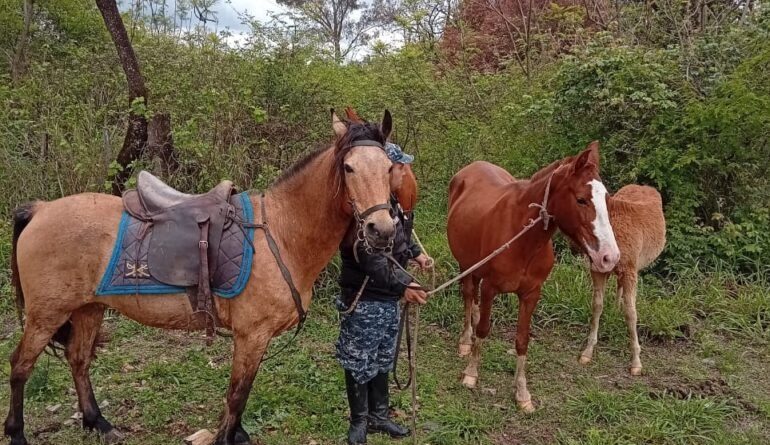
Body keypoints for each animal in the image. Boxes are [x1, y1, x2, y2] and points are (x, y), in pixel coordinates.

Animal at [5, 110, 398, 445]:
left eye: (390, 168)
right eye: (348, 167)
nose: (381, 230)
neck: (281, 232)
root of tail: (41, 209)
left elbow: (240, 394)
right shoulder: (251, 335)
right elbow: (237, 393)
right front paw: (227, 437)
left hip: (89, 308)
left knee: (79, 360)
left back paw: (99, 422)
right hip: (46, 315)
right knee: (21, 365)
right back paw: (17, 432)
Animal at [446, 141, 621, 412]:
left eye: (607, 199)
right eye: (581, 200)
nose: (609, 257)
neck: (523, 238)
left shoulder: (531, 294)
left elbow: (521, 340)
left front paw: (522, 393)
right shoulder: (490, 288)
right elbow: (484, 329)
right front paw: (471, 374)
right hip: (466, 264)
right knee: (467, 295)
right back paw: (466, 341)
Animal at [578, 185, 666, 376]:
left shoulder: (631, 270)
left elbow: (631, 313)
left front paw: (636, 363)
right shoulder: (597, 269)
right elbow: (597, 305)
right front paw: (587, 352)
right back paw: (615, 307)